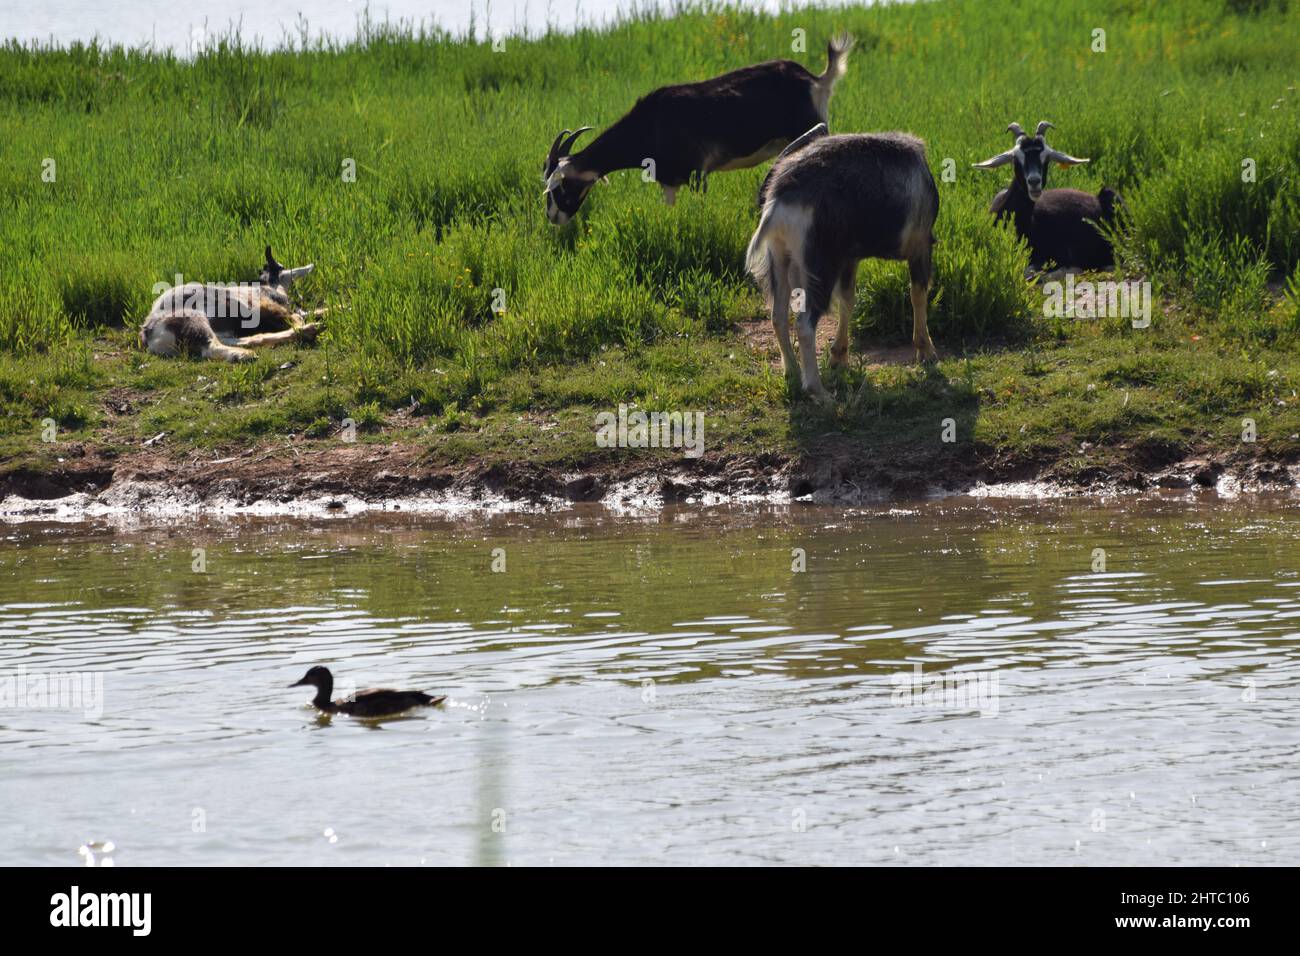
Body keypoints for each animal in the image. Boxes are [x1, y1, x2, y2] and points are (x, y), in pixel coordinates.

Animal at [139, 247, 325, 362]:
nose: (299, 299)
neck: (268, 287)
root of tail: (147, 330)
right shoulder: (269, 309)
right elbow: (296, 318)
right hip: (193, 319)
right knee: (211, 348)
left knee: (245, 339)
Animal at [543, 35, 854, 225]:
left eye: (560, 185)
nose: (553, 218)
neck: (651, 122)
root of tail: (816, 80)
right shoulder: (669, 181)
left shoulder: (697, 173)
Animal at [746, 128, 940, 402]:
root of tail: (779, 202)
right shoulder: (921, 246)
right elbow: (918, 294)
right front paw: (926, 351)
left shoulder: (850, 258)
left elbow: (848, 300)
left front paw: (839, 358)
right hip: (820, 267)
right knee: (805, 325)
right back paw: (819, 392)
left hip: (780, 258)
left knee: (778, 316)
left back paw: (792, 373)